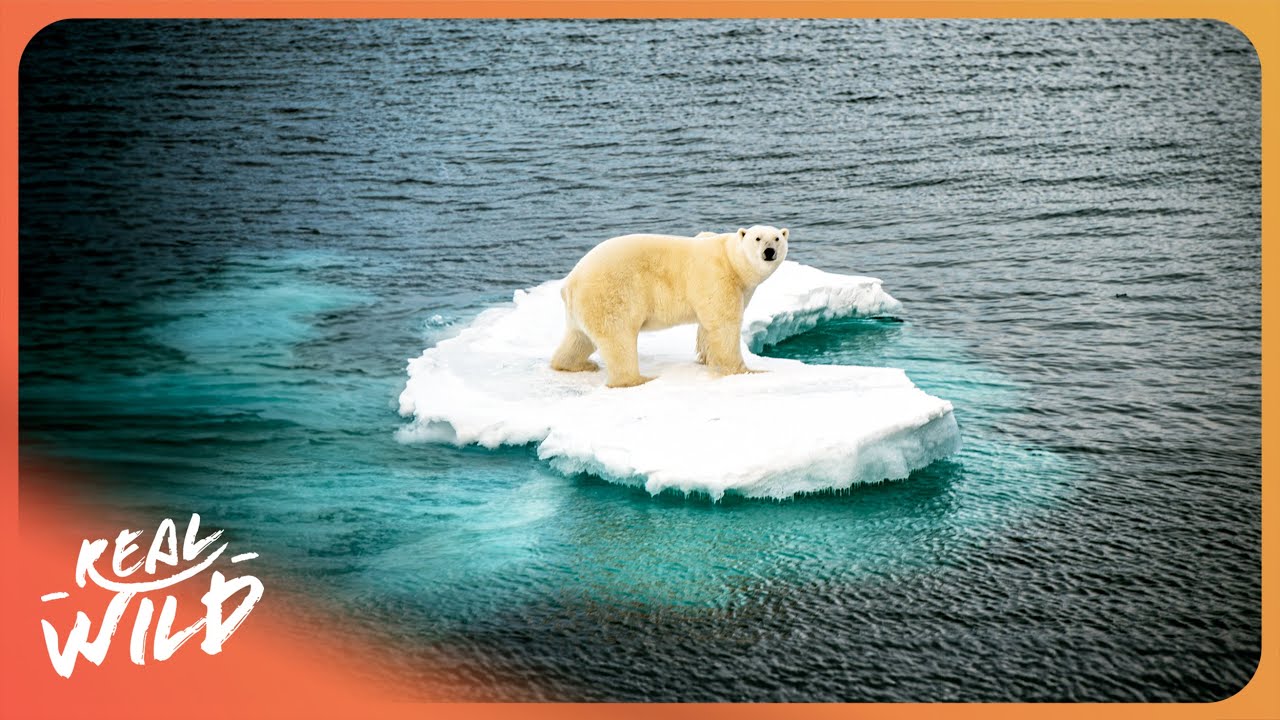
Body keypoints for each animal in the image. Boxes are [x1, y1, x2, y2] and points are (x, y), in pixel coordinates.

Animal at [550, 225, 790, 388]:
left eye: (777, 238)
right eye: (758, 238)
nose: (769, 251)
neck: (731, 260)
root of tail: (570, 282)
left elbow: (706, 326)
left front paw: (705, 358)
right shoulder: (716, 277)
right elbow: (724, 324)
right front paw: (746, 371)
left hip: (582, 307)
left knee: (579, 339)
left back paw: (577, 364)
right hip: (610, 295)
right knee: (618, 339)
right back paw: (638, 379)